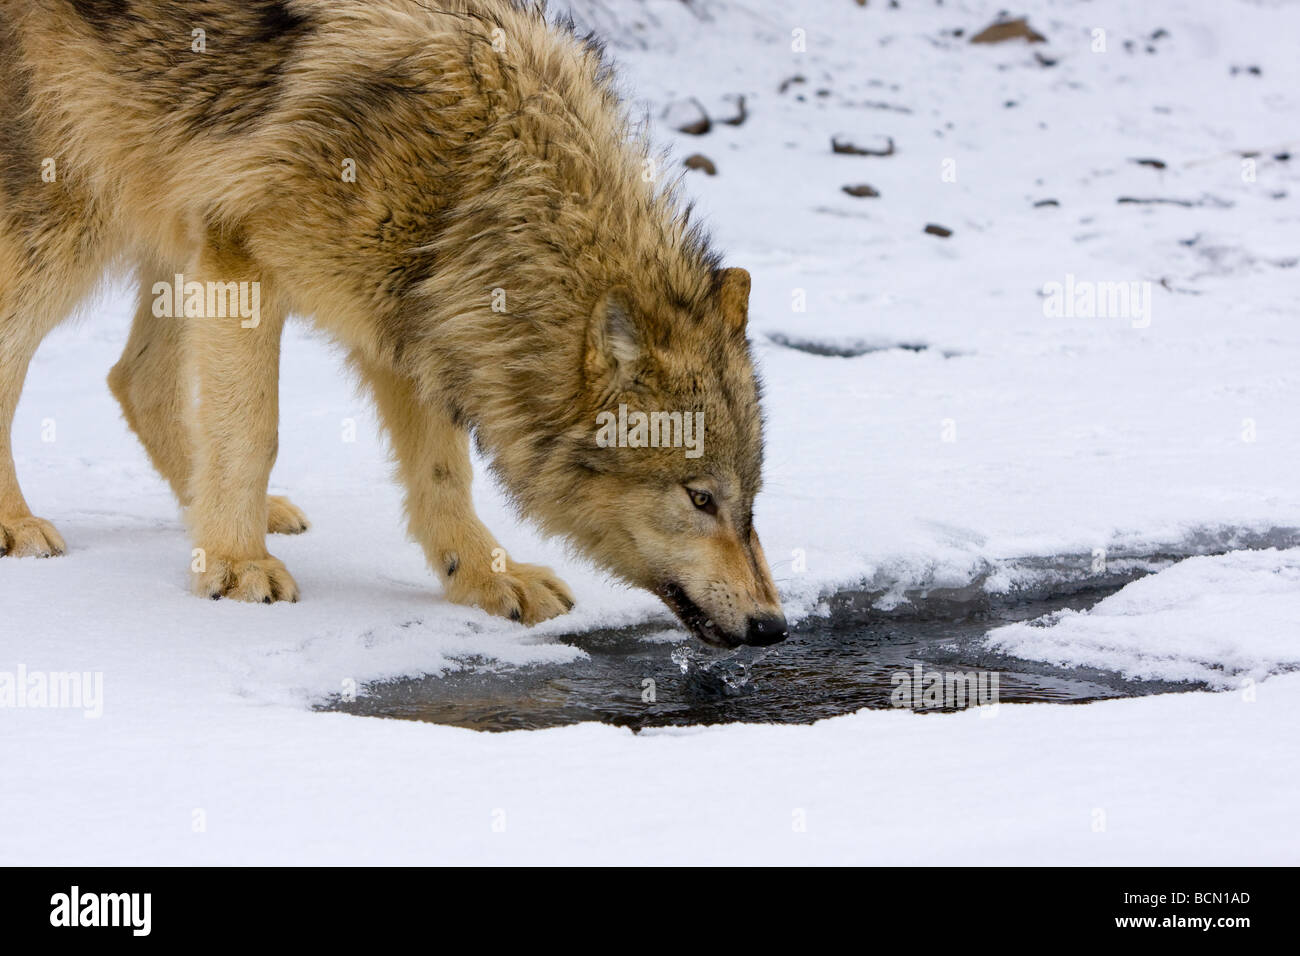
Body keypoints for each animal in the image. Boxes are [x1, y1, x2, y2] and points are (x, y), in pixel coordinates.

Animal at [0, 0, 787, 647]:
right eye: (699, 498)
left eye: (750, 502)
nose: (773, 627)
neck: (476, 179)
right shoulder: (243, 260)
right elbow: (254, 433)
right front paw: (235, 565)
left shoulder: (414, 323)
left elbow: (443, 473)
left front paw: (484, 577)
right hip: (66, 229)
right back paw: (18, 524)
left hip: (166, 232)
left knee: (132, 378)